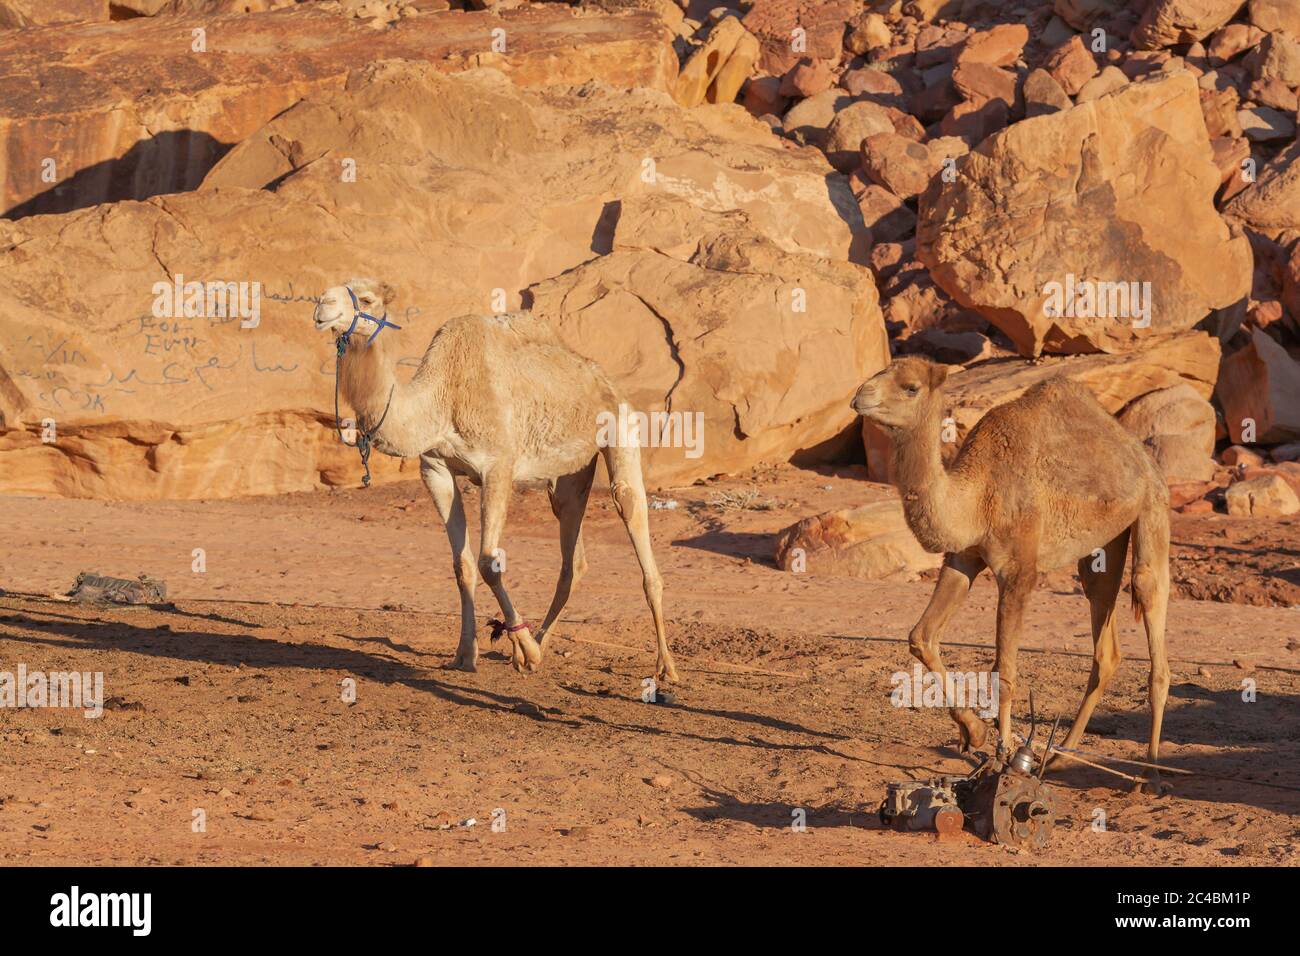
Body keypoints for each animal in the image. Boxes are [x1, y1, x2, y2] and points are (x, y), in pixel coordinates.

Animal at [312, 278, 679, 682]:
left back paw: (664, 666)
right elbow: (463, 566)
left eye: (366, 299)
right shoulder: (435, 470)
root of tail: (600, 375)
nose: (323, 305)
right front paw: (465, 655)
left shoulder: (498, 467)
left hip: (622, 430)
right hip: (568, 475)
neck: (441, 399)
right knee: (574, 557)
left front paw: (525, 649)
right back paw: (537, 643)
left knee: (629, 508)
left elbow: (490, 563)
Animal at [851, 357, 1171, 792]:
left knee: (1150, 603)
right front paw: (974, 733)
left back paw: (1149, 775)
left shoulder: (1020, 572)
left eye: (910, 387)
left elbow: (1004, 670)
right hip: (1105, 543)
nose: (859, 396)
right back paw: (1059, 757)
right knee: (1105, 638)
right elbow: (922, 636)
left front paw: (1004, 758)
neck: (976, 497)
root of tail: (1141, 455)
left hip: (1153, 509)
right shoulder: (963, 557)